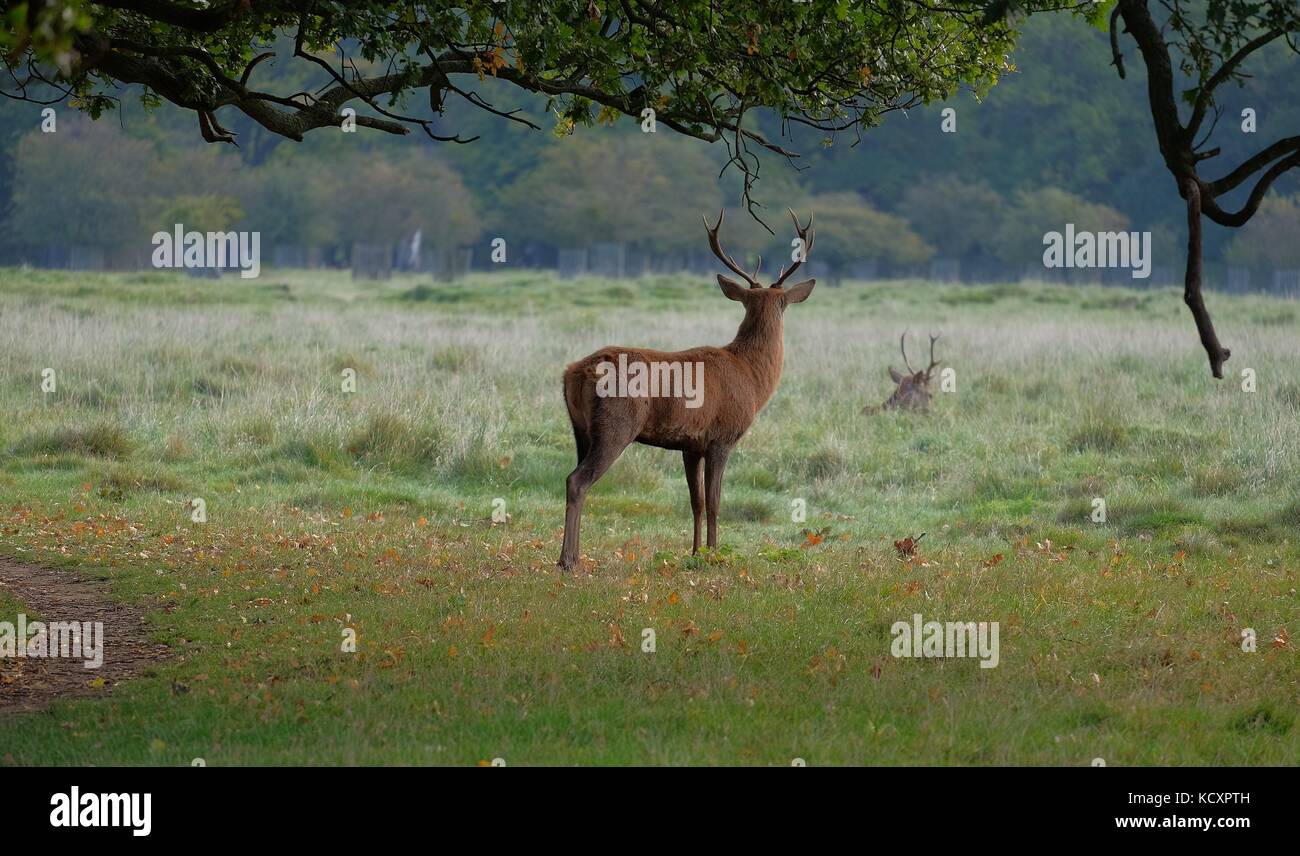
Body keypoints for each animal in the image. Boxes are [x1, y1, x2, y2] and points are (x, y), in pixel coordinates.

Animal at [558, 209, 816, 571]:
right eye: (784, 304)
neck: (751, 377)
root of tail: (573, 372)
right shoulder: (722, 437)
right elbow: (715, 500)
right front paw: (714, 553)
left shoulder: (690, 445)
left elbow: (695, 501)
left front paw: (694, 552)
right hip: (615, 425)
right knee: (578, 480)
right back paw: (568, 560)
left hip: (580, 429)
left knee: (575, 477)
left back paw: (574, 555)